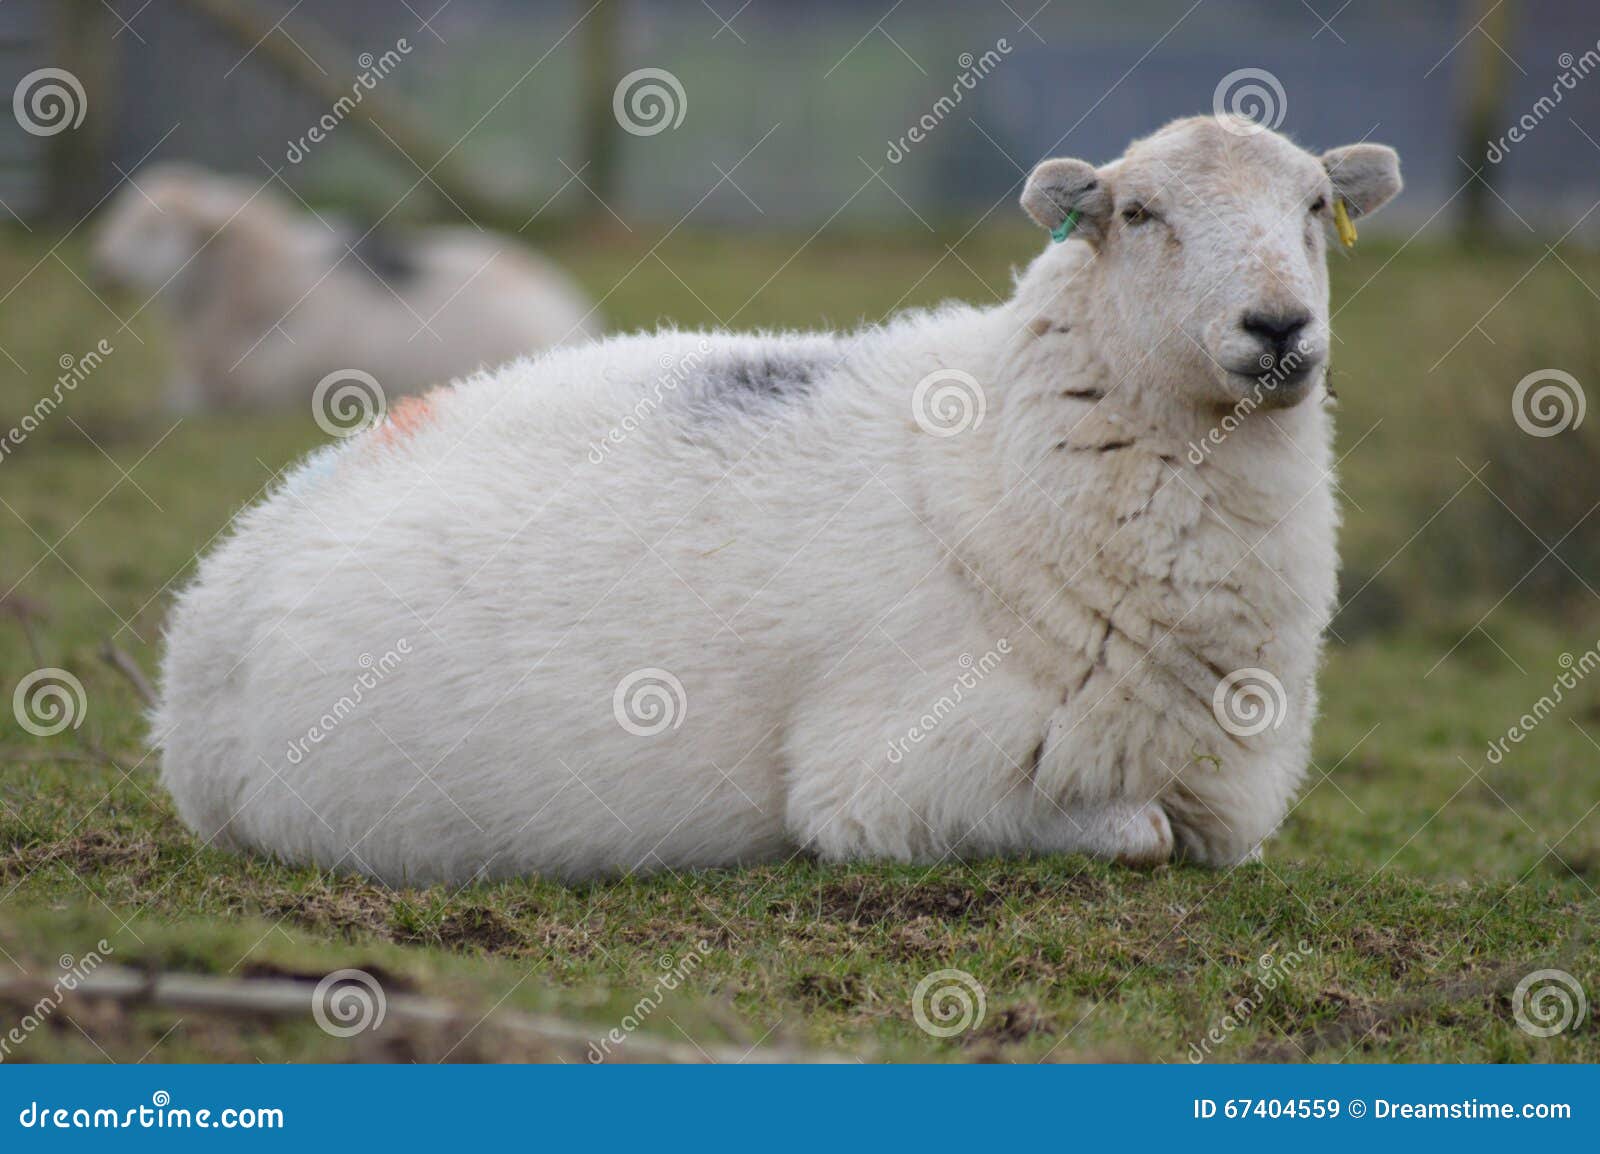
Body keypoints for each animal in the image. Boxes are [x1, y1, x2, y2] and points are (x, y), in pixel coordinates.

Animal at [154, 116, 1401, 885]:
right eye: (1138, 213)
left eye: (1314, 205)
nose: (1278, 328)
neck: (1004, 472)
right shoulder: (897, 787)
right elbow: (1142, 832)